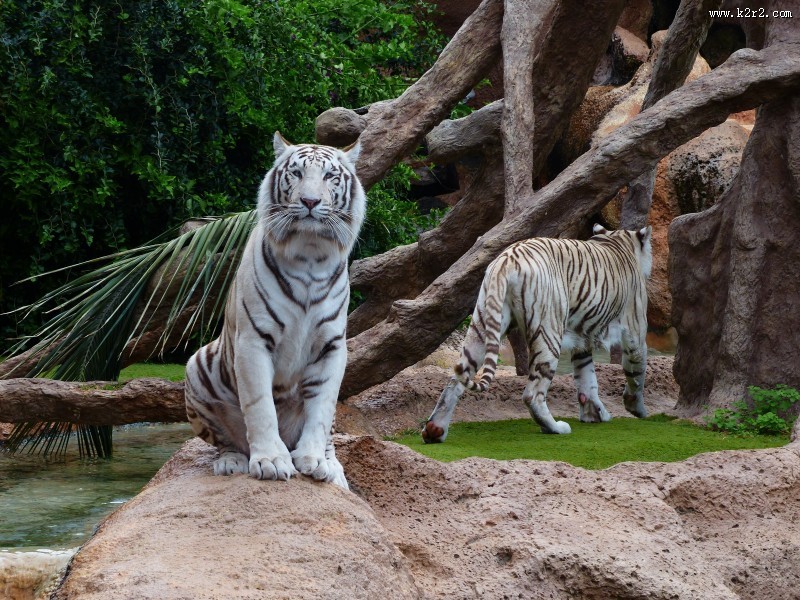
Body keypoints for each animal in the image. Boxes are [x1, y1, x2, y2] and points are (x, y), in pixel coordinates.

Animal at [184, 132, 365, 489]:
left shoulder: (332, 347)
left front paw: (313, 461)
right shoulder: (253, 340)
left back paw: (333, 469)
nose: (309, 201)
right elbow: (260, 406)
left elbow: (321, 410)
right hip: (196, 367)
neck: (310, 254)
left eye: (329, 176)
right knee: (226, 440)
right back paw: (231, 462)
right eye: (296, 173)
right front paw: (270, 461)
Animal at [422, 224, 652, 443]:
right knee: (532, 394)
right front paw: (638, 410)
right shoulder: (635, 330)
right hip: (549, 333)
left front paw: (594, 413)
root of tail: (506, 259)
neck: (618, 240)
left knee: (455, 380)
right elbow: (636, 374)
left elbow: (587, 378)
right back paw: (555, 428)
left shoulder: (582, 340)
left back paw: (435, 430)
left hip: (481, 326)